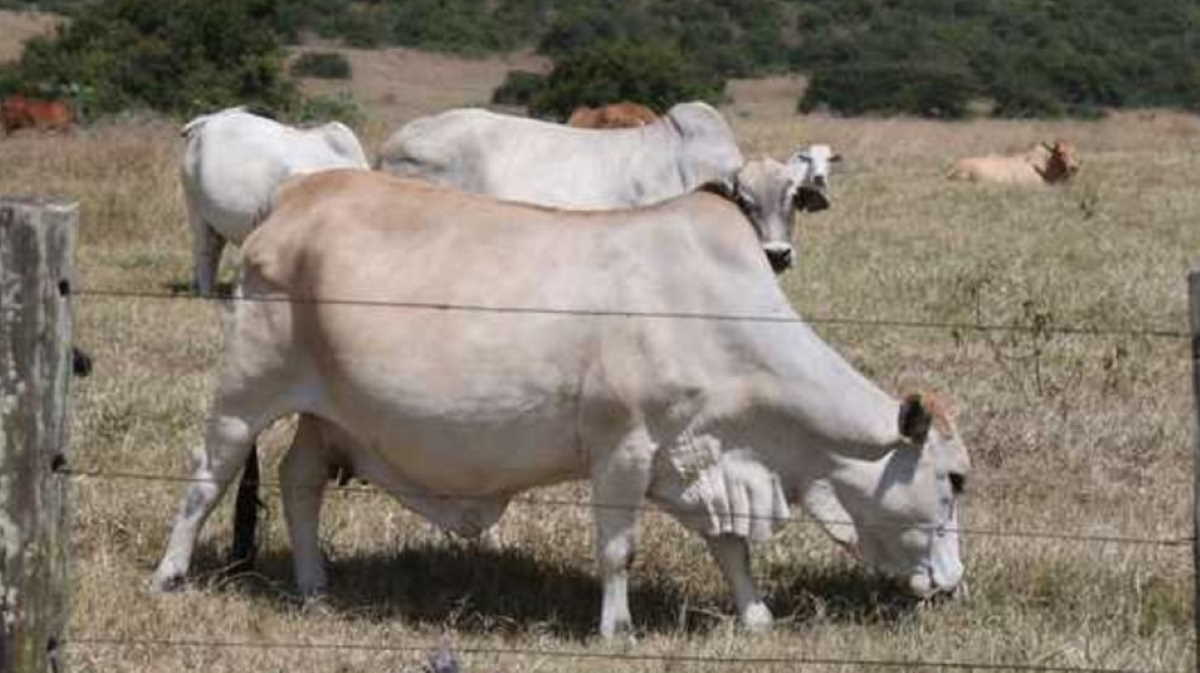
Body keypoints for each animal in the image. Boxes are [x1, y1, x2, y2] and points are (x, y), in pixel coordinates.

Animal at [151, 169, 970, 638]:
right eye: (956, 479)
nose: (955, 583)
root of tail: (294, 195)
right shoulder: (624, 447)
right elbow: (618, 547)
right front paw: (617, 629)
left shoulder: (696, 452)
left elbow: (730, 543)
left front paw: (756, 615)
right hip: (248, 385)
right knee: (208, 473)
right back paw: (170, 574)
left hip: (329, 412)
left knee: (300, 481)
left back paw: (315, 586)